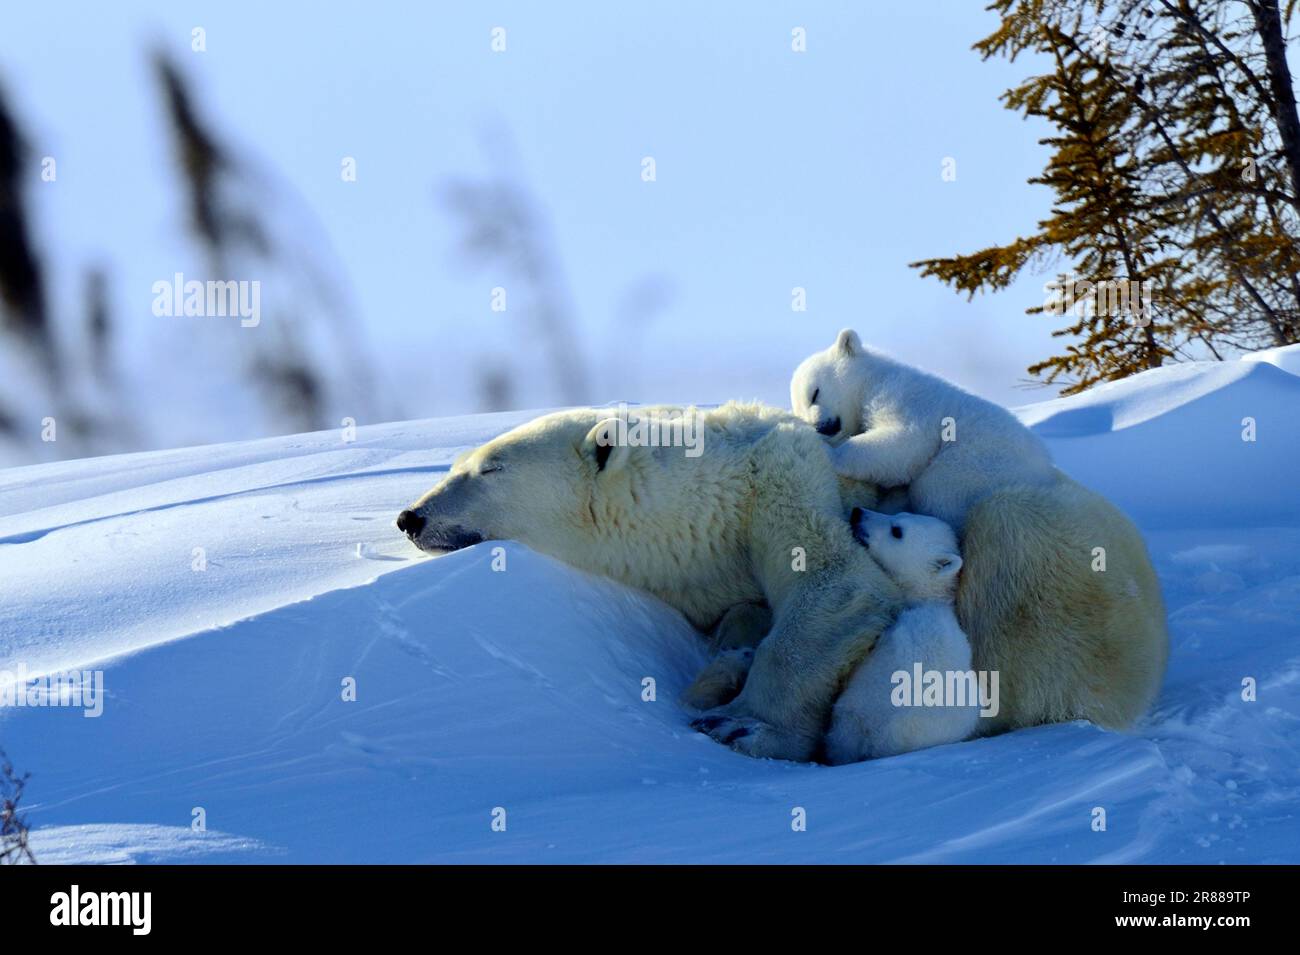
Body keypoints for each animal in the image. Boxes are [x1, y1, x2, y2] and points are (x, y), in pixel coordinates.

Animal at [790, 329, 1057, 530]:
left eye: (815, 393)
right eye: (800, 412)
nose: (820, 426)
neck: (872, 378)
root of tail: (1043, 471)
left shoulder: (900, 394)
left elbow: (905, 441)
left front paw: (830, 453)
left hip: (981, 460)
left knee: (937, 487)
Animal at [824, 508, 980, 763]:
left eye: (897, 531)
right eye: (900, 512)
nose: (858, 512)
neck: (926, 600)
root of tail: (886, 738)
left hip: (858, 709)